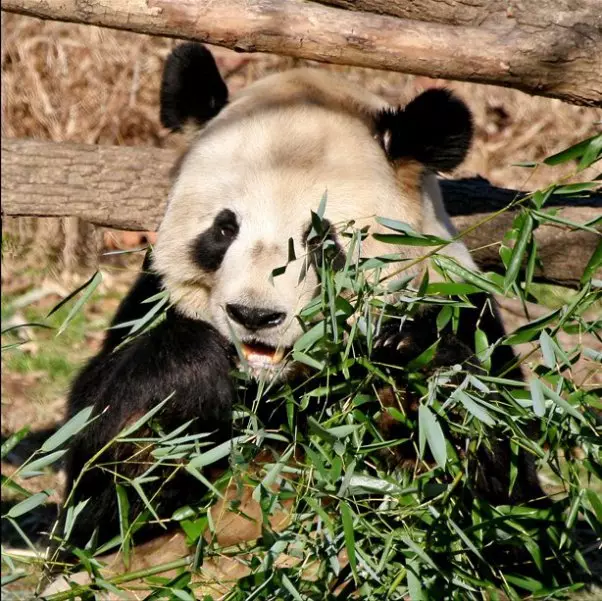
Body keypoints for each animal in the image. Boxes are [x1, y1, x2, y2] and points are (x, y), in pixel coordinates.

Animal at [59, 43, 544, 556]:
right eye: (224, 229)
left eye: (321, 239)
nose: (254, 314)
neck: (278, 388)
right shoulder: (146, 305)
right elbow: (100, 498)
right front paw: (185, 378)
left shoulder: (461, 309)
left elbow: (504, 512)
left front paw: (407, 367)